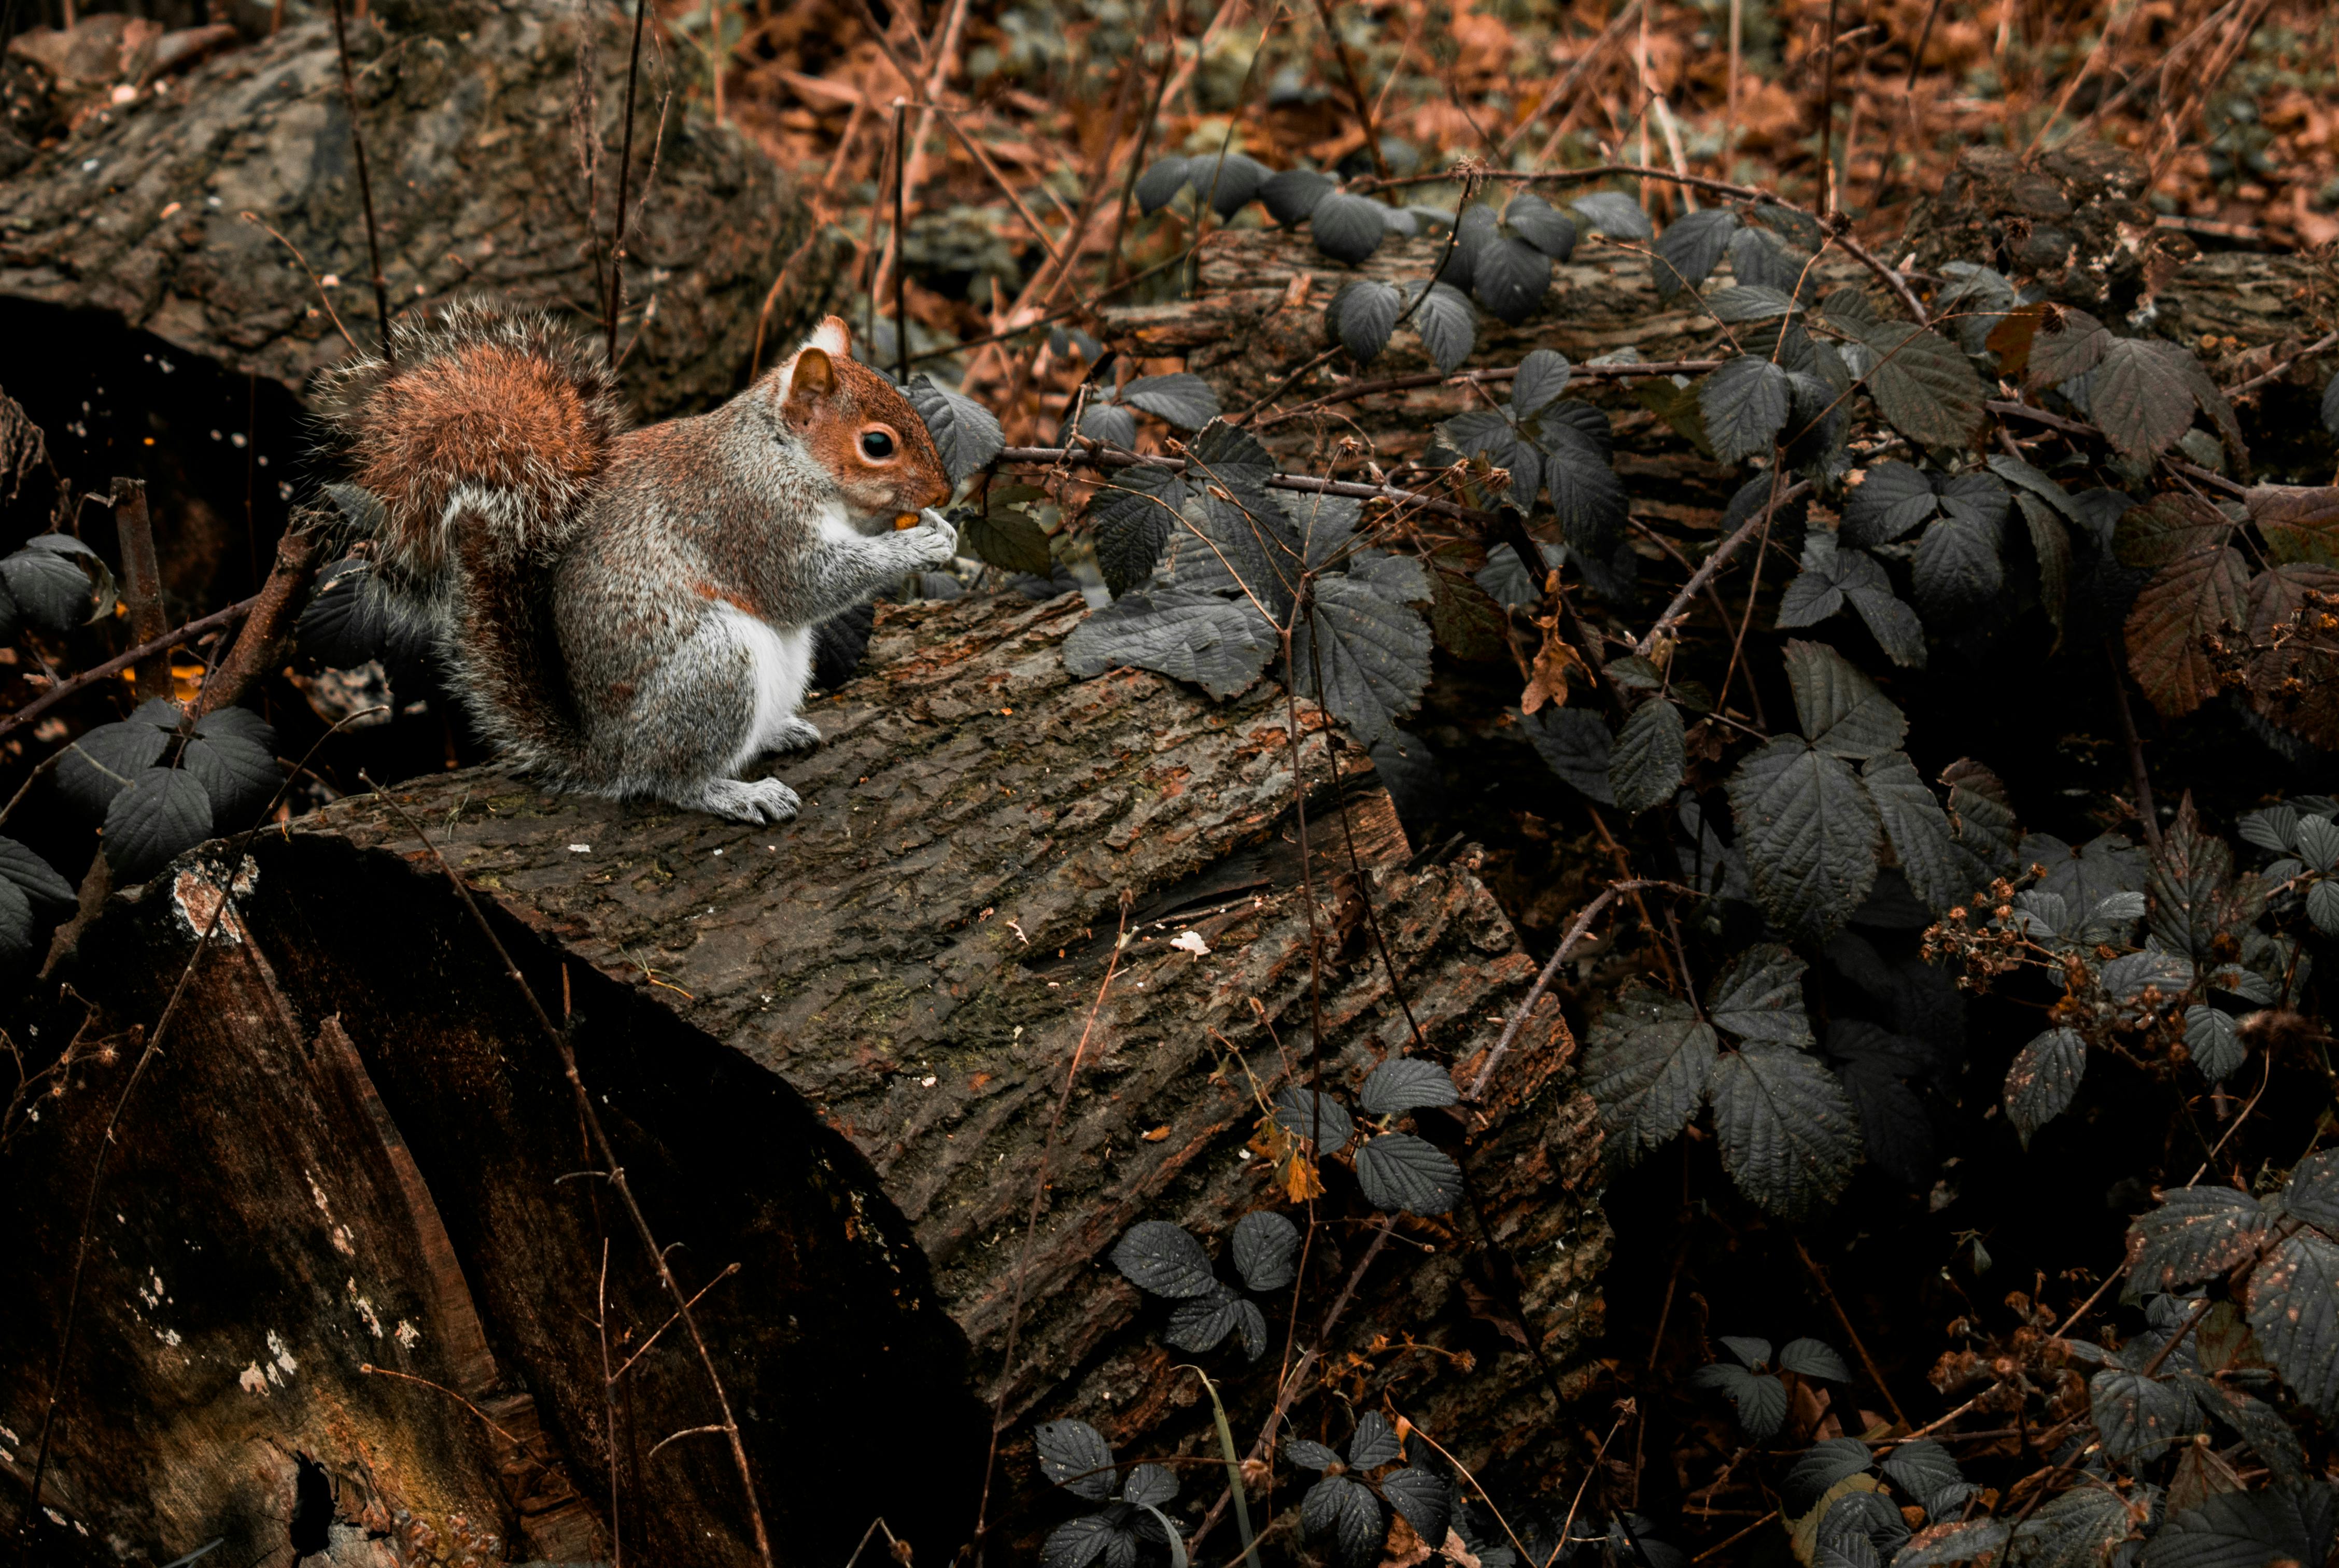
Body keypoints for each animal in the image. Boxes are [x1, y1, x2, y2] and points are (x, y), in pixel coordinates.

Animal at [314, 302, 958, 824]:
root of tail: (607, 754)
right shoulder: (748, 516)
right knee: (668, 781)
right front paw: (918, 546)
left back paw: (779, 731)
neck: (781, 451)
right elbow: (808, 584)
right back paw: (734, 792)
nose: (944, 491)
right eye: (877, 444)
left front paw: (941, 527)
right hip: (716, 669)